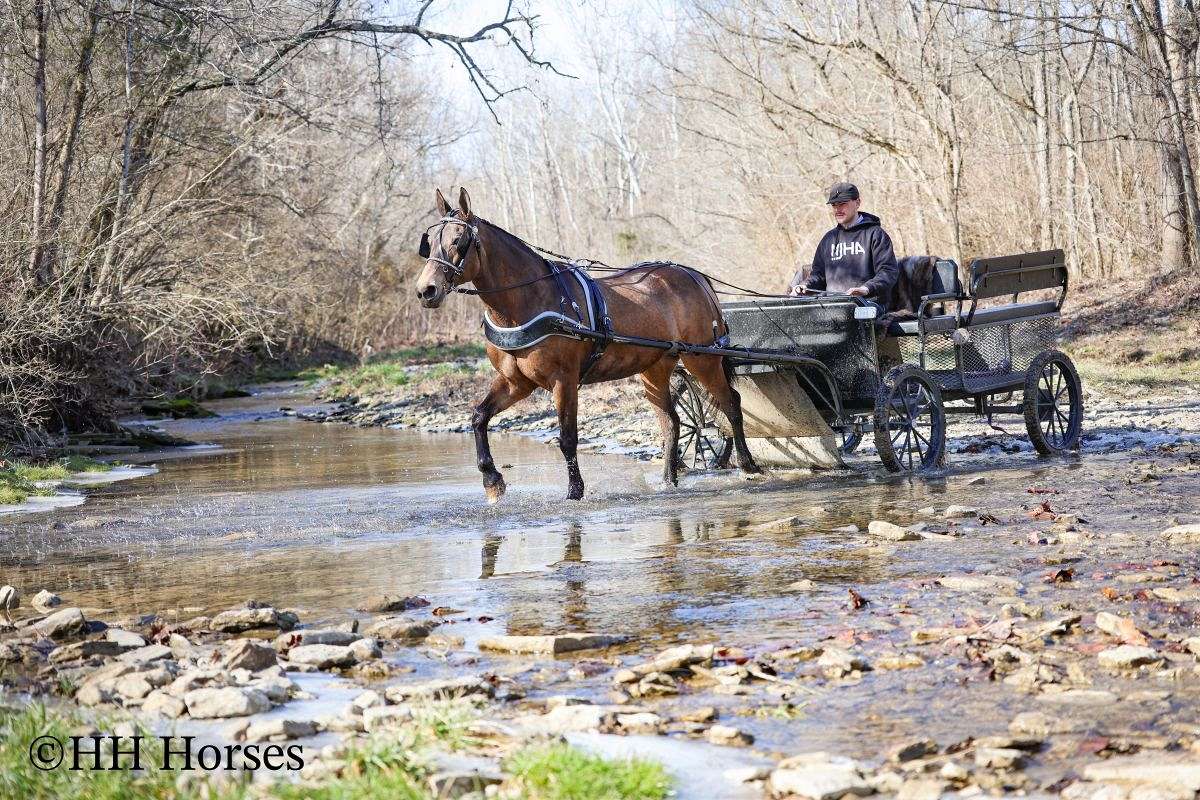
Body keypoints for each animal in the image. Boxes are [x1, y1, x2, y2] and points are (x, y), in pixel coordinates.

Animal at [414, 187, 760, 502]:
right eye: (428, 242)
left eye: (458, 241)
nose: (425, 290)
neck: (528, 301)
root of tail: (695, 277)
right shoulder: (516, 382)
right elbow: (479, 417)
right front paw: (492, 480)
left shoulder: (563, 380)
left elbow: (567, 437)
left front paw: (574, 491)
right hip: (655, 368)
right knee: (671, 422)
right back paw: (668, 479)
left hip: (703, 358)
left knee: (731, 403)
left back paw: (748, 465)